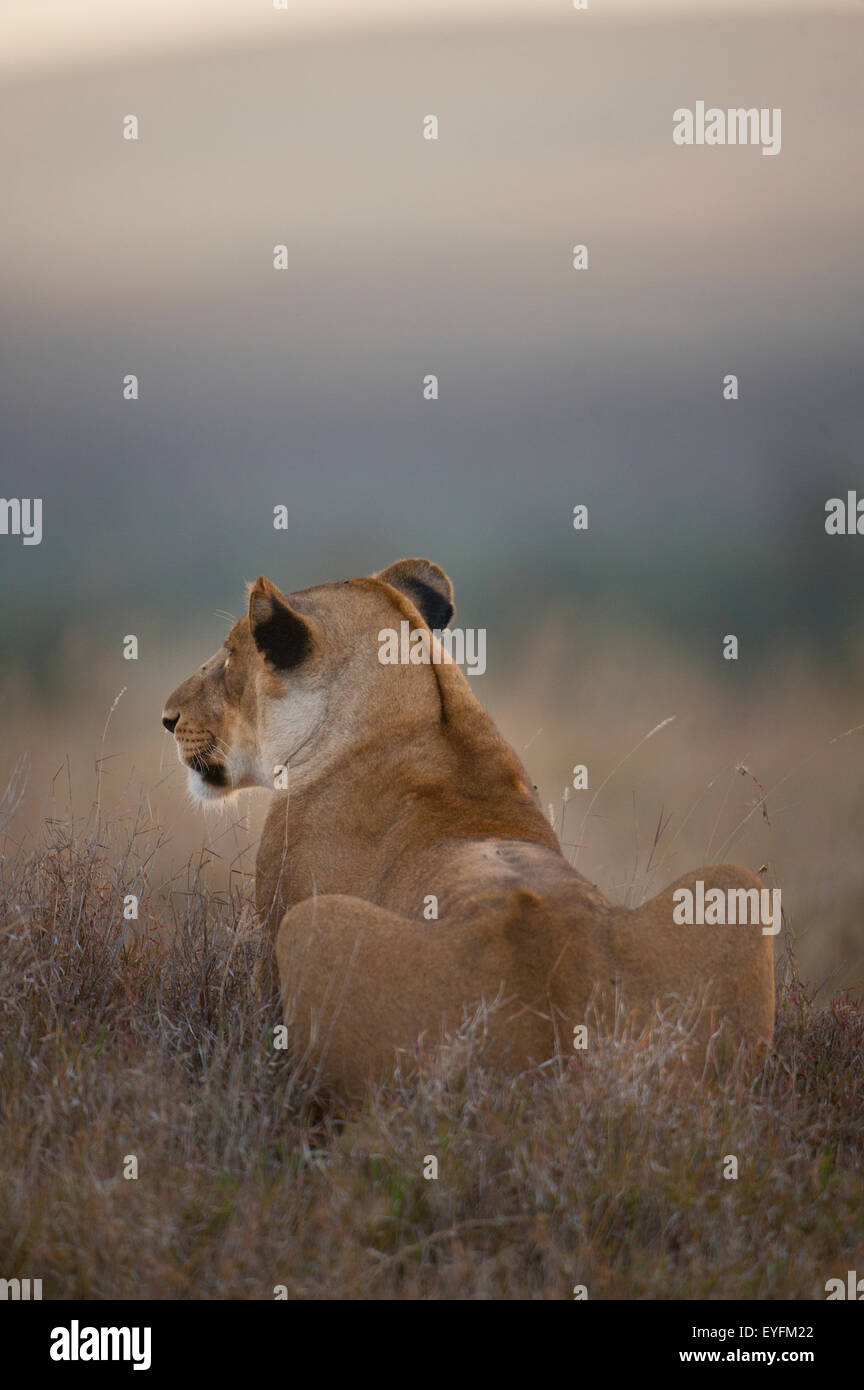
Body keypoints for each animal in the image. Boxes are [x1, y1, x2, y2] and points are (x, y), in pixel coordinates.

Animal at [162, 558, 776, 1094]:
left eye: (229, 657)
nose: (167, 717)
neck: (434, 725)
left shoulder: (275, 915)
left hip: (314, 924)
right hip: (737, 885)